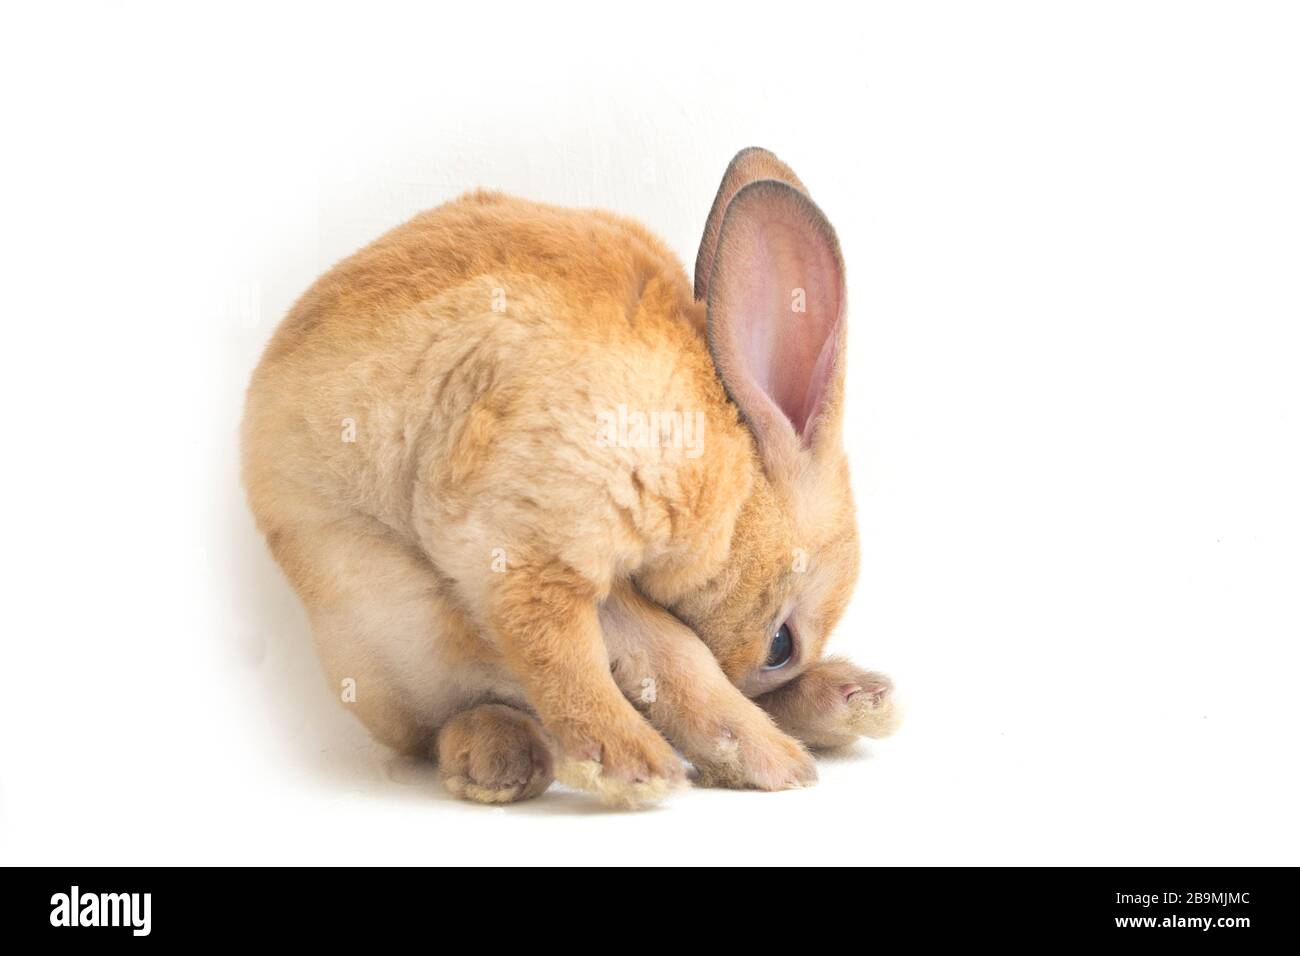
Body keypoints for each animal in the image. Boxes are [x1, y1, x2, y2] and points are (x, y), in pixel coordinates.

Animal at [241, 147, 899, 808]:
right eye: (781, 645)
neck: (729, 465)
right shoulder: (525, 543)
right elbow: (592, 653)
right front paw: (641, 769)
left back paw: (855, 703)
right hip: (411, 619)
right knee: (449, 721)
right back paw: (501, 759)